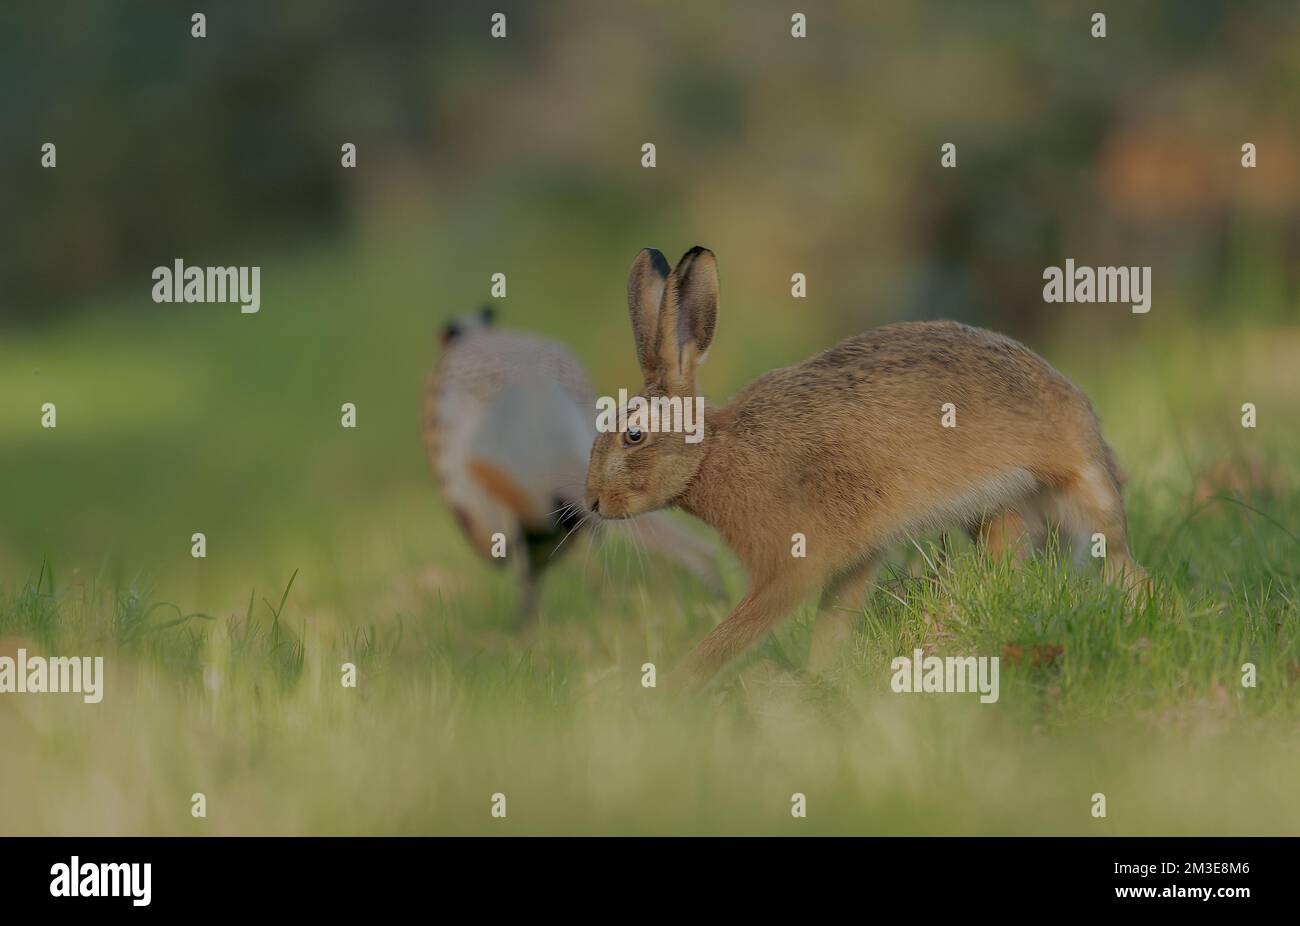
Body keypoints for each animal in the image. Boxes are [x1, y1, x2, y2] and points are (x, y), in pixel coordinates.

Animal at [584, 247, 1148, 682]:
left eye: (633, 435)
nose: (591, 501)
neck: (710, 455)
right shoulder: (855, 555)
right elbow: (832, 621)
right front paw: (821, 678)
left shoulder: (791, 567)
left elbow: (732, 636)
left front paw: (674, 691)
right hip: (994, 512)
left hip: (1084, 491)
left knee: (1119, 558)